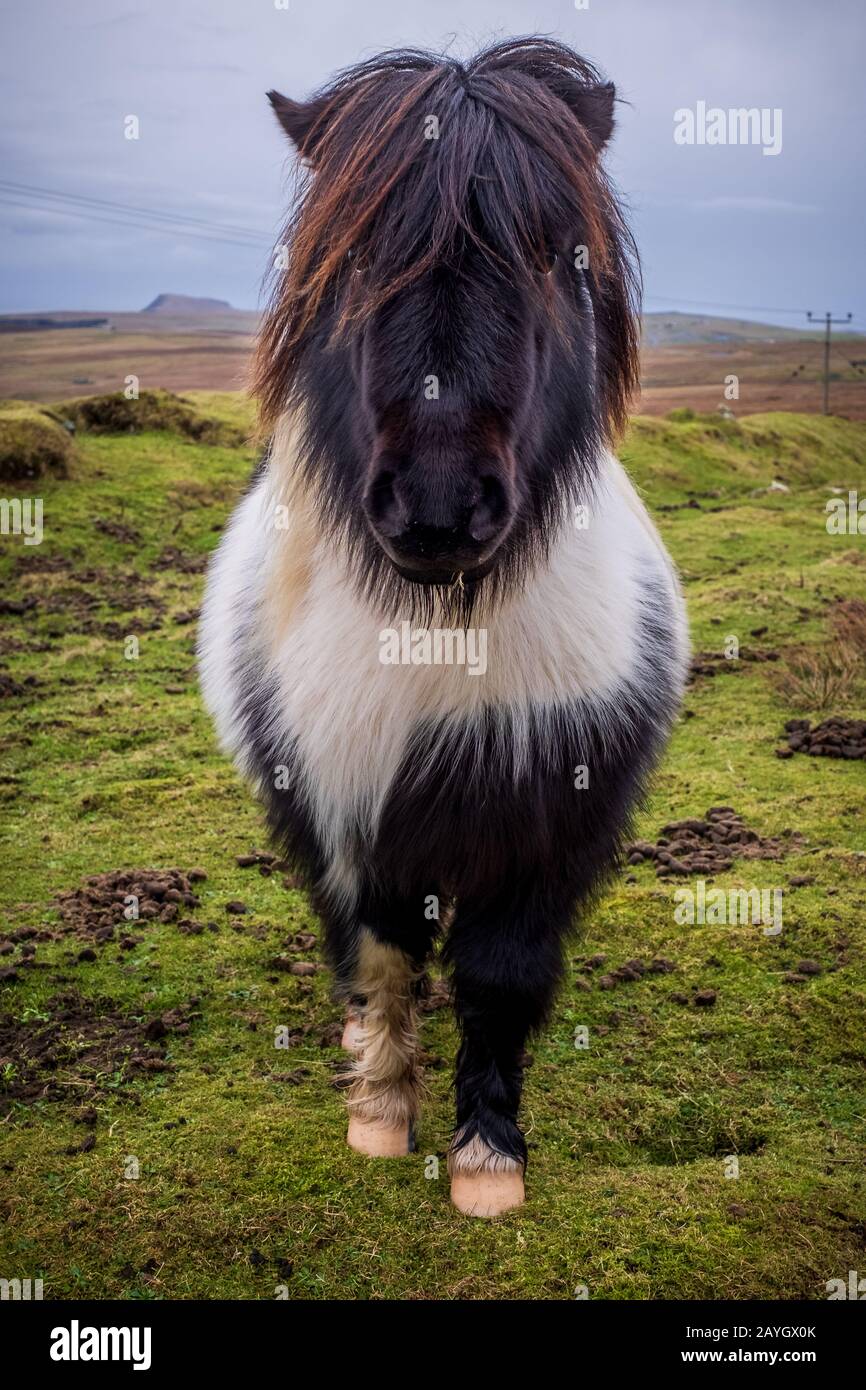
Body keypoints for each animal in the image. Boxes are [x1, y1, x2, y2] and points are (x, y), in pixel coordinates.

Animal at [198, 37, 689, 1218]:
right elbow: (379, 954)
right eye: (353, 262)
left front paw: (485, 1160)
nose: (434, 506)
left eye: (552, 255)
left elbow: (499, 977)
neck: (439, 636)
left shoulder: (550, 809)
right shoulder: (345, 799)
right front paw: (379, 1115)